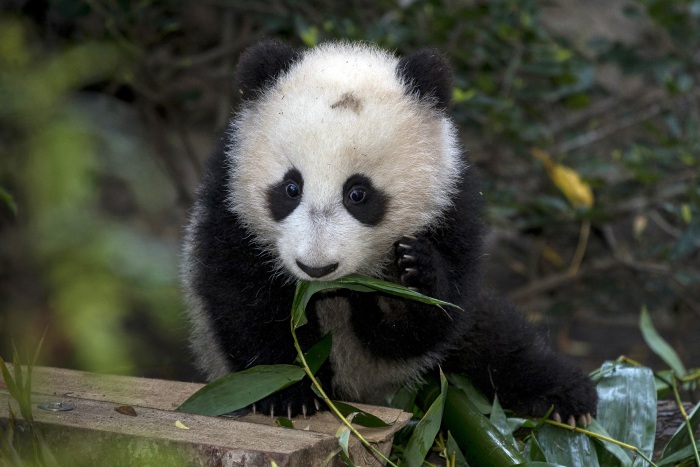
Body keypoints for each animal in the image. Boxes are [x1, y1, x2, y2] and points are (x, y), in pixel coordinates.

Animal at [181, 39, 598, 425]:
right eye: (291, 188)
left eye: (358, 193)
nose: (316, 267)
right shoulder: (229, 209)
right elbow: (245, 301)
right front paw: (286, 390)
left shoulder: (451, 205)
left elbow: (430, 320)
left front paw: (410, 272)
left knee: (498, 345)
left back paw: (566, 398)